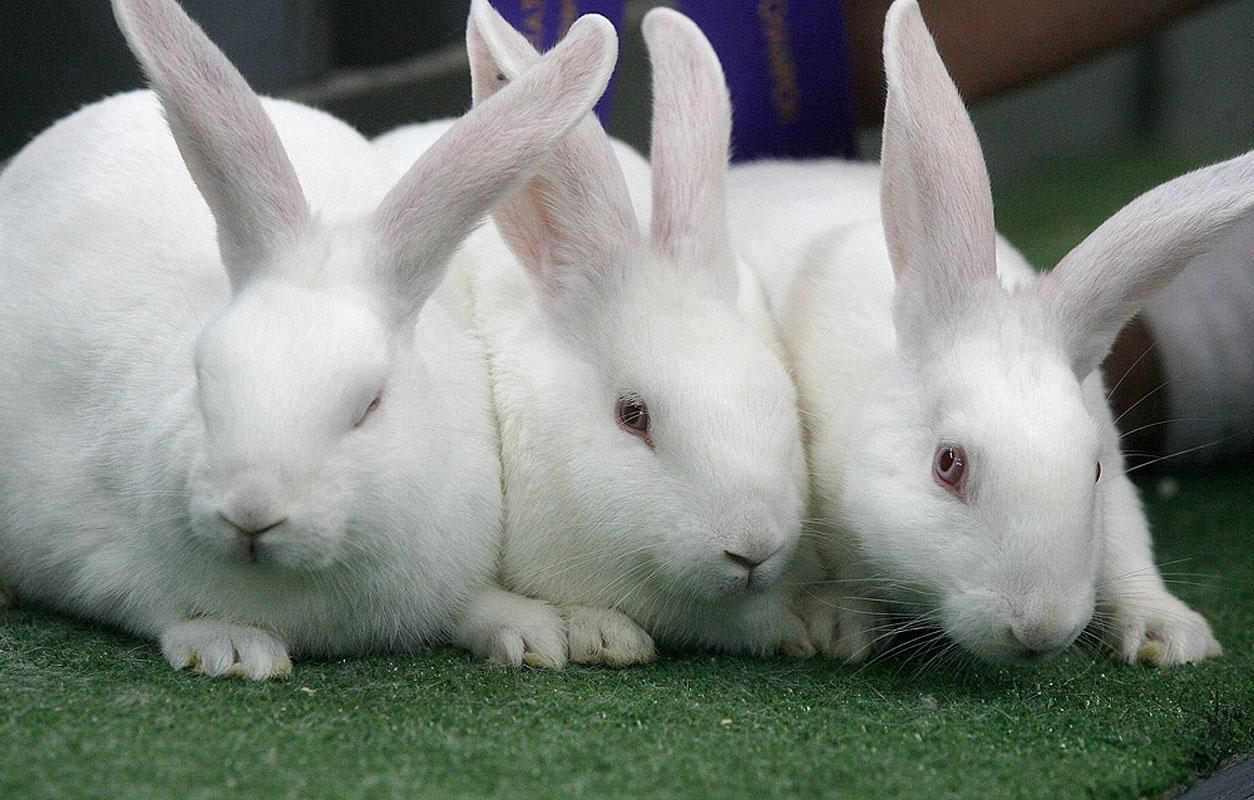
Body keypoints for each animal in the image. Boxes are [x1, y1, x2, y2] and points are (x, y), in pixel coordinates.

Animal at [0, 0, 618, 677]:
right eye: (202, 383)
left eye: (369, 406)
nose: (252, 512)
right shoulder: (87, 549)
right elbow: (155, 605)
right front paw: (232, 647)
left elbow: (471, 603)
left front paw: (533, 634)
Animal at [727, 0, 1252, 667]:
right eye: (948, 465)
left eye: (1094, 470)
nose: (1040, 629)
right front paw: (840, 623)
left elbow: (1127, 543)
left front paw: (1170, 634)